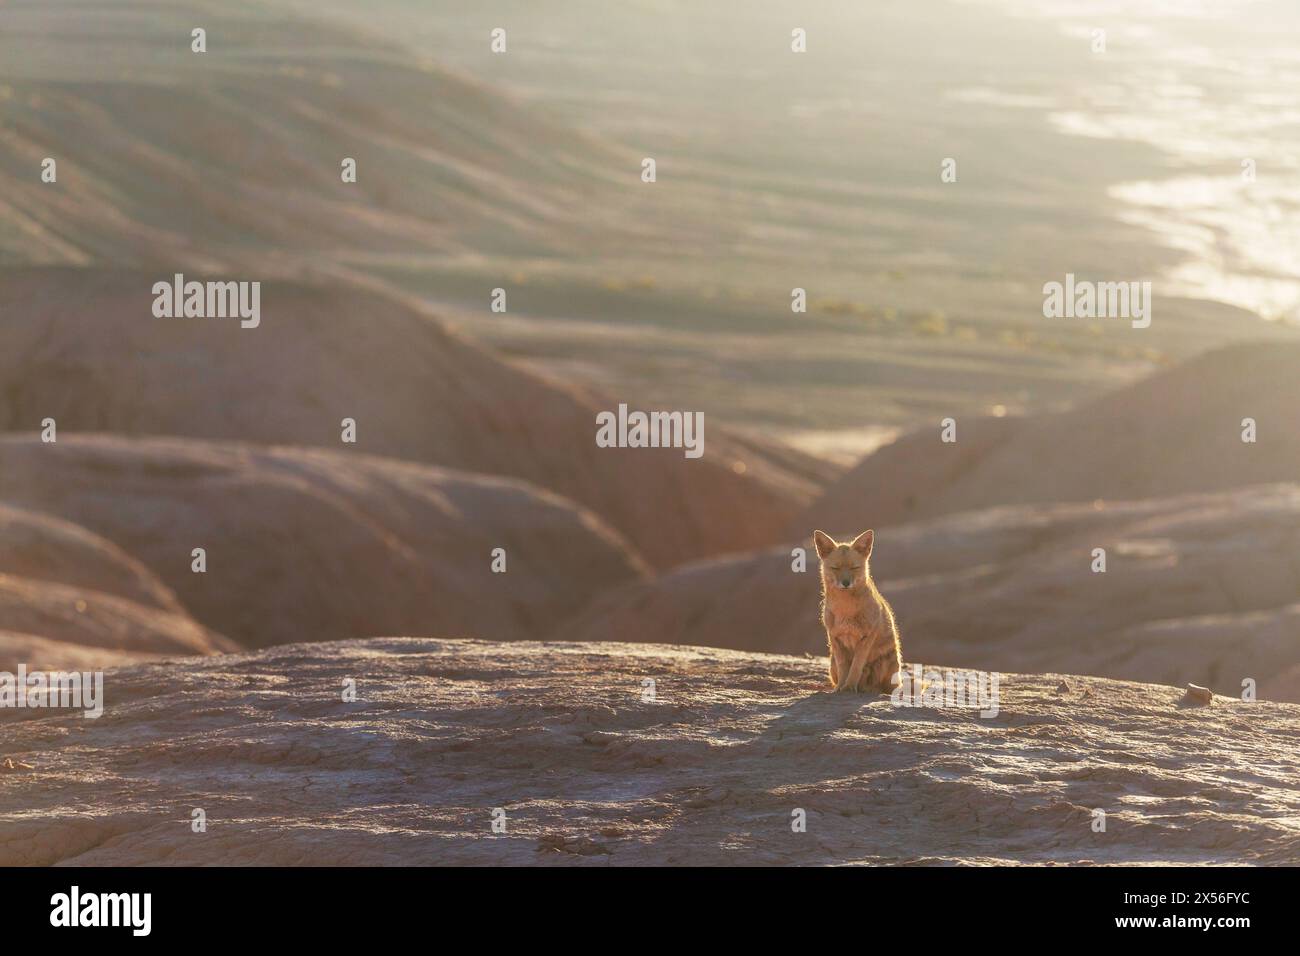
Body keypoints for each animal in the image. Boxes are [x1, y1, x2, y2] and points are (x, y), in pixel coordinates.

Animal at [813, 529, 902, 693]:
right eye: (835, 568)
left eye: (854, 567)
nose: (846, 583)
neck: (845, 610)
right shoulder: (835, 638)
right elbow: (844, 667)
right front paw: (840, 688)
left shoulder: (866, 637)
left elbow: (856, 666)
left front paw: (849, 686)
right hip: (832, 664)